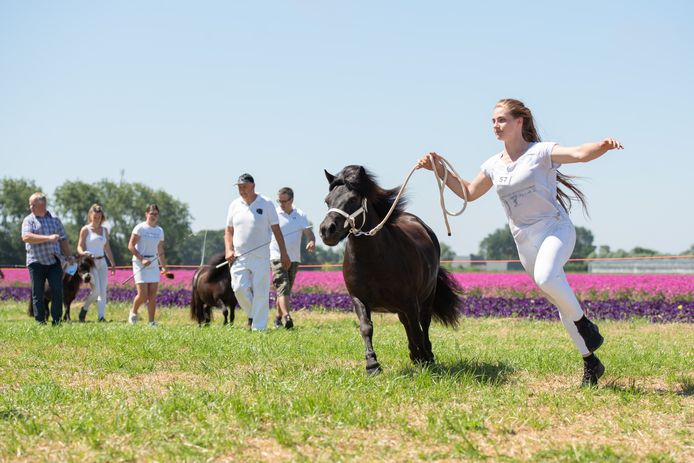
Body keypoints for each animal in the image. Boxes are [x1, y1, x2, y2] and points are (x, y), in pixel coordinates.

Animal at [319, 165, 462, 374]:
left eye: (353, 199)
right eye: (327, 201)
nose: (326, 230)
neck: (373, 259)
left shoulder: (411, 301)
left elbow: (417, 330)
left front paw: (424, 360)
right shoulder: (359, 298)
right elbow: (366, 328)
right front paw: (372, 365)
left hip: (426, 297)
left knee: (423, 323)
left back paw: (426, 355)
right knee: (407, 324)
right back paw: (414, 354)